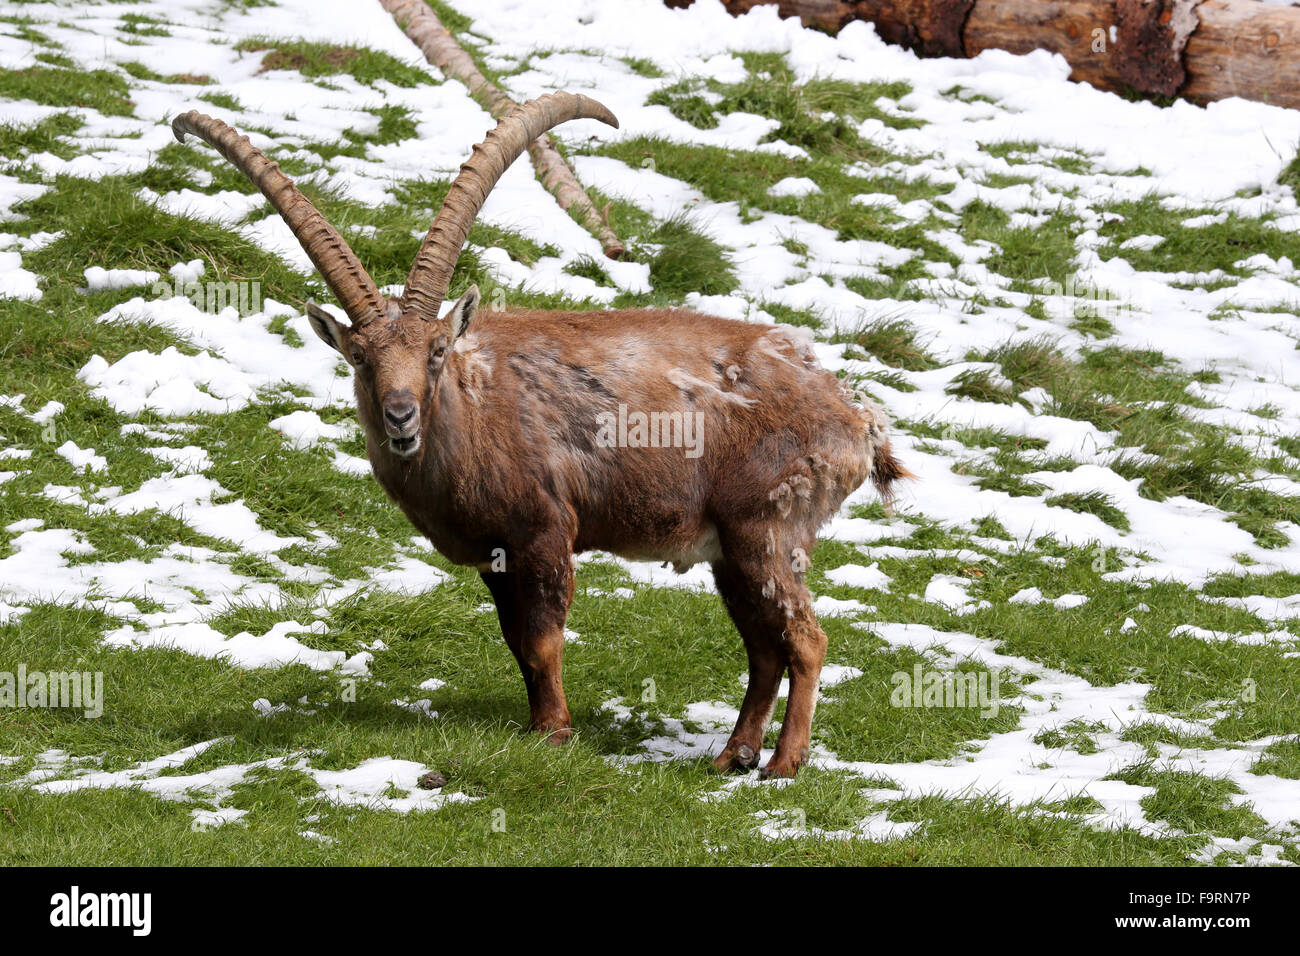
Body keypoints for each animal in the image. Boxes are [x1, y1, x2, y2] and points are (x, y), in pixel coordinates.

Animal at [173, 92, 911, 778]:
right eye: (359, 357)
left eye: (437, 350)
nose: (401, 415)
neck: (474, 419)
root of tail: (855, 419)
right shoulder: (496, 557)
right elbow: (515, 642)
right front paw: (535, 727)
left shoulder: (546, 532)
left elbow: (543, 640)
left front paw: (556, 733)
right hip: (731, 549)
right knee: (764, 647)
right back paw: (733, 755)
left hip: (768, 527)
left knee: (805, 640)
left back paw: (785, 763)